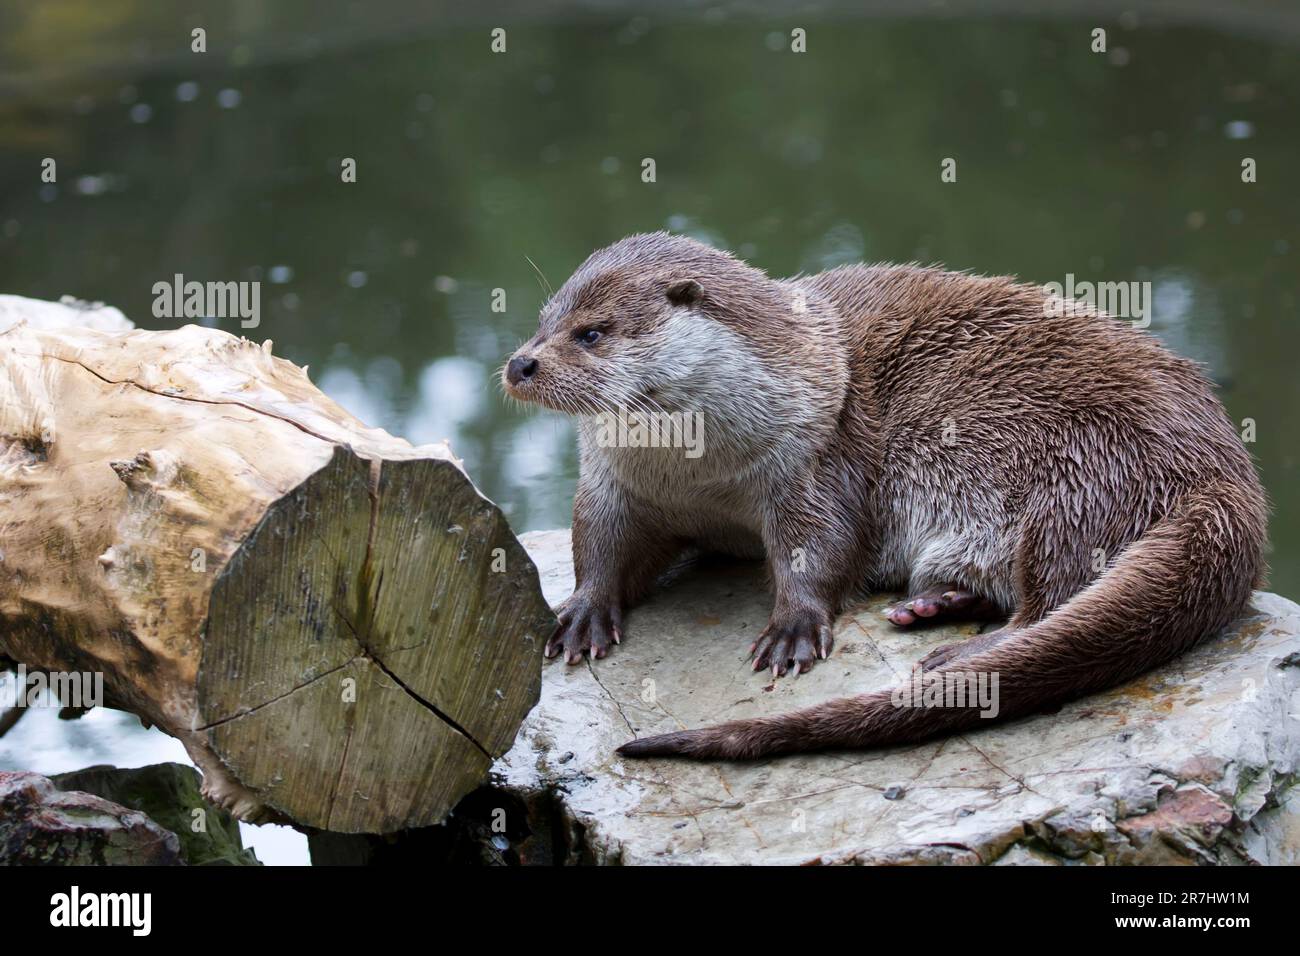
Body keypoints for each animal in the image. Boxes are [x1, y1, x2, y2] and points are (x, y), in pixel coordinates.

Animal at [501, 232, 1267, 759]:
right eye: (541, 321)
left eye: (591, 333)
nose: (520, 362)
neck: (700, 473)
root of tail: (1225, 469)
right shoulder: (614, 482)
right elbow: (597, 542)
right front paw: (582, 614)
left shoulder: (816, 456)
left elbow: (818, 547)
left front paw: (793, 628)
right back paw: (936, 606)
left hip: (1083, 480)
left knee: (1054, 590)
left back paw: (961, 658)